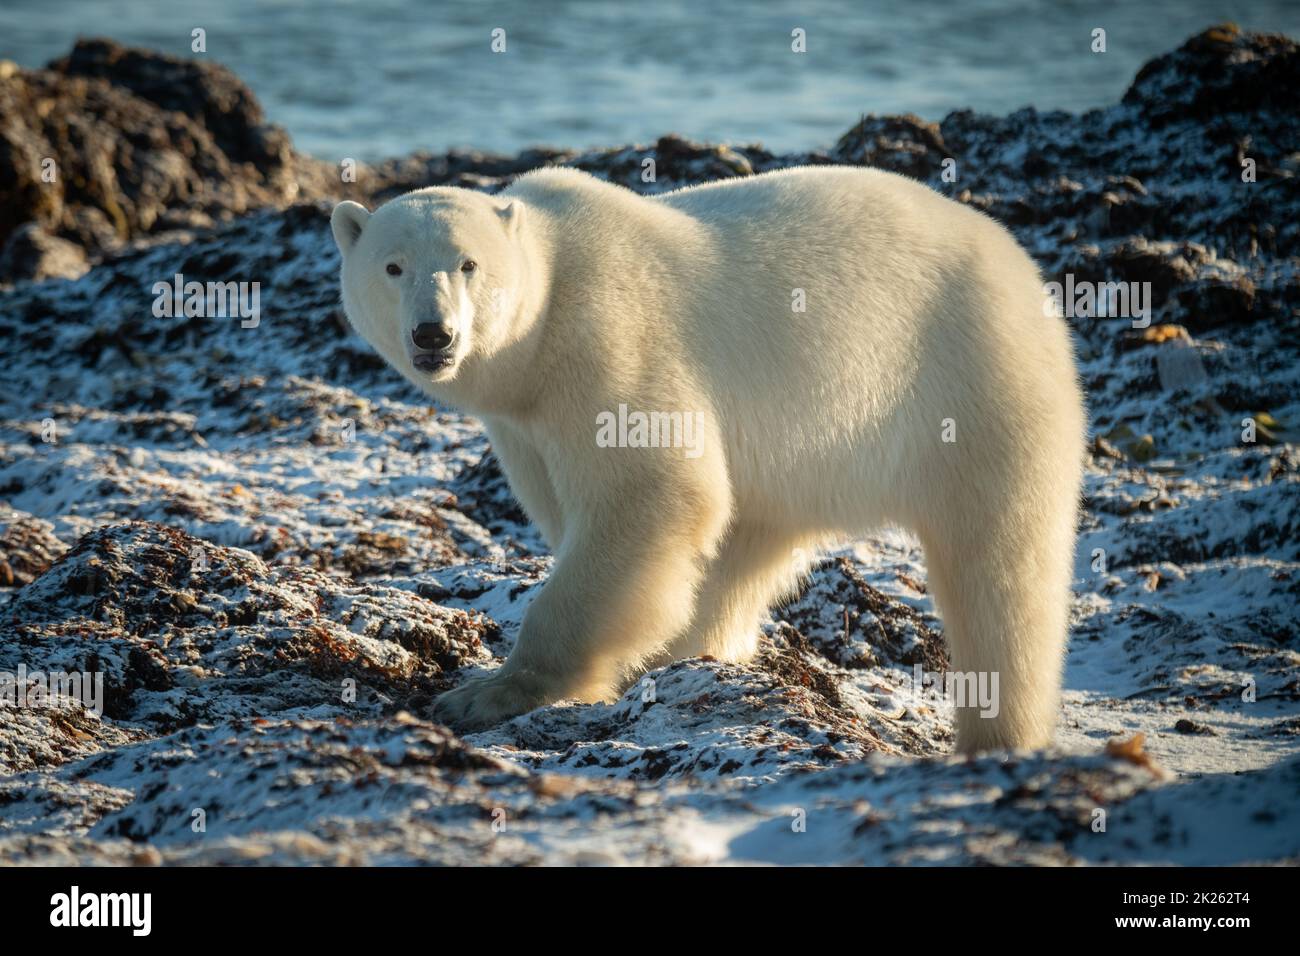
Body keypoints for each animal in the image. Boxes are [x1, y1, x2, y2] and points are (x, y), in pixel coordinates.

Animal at [330, 164, 1087, 752]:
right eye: (393, 267)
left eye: (468, 264)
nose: (434, 334)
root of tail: (1020, 264)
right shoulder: (523, 422)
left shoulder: (609, 339)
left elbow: (651, 491)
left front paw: (486, 692)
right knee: (746, 545)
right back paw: (694, 649)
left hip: (975, 377)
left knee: (1001, 569)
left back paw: (999, 732)